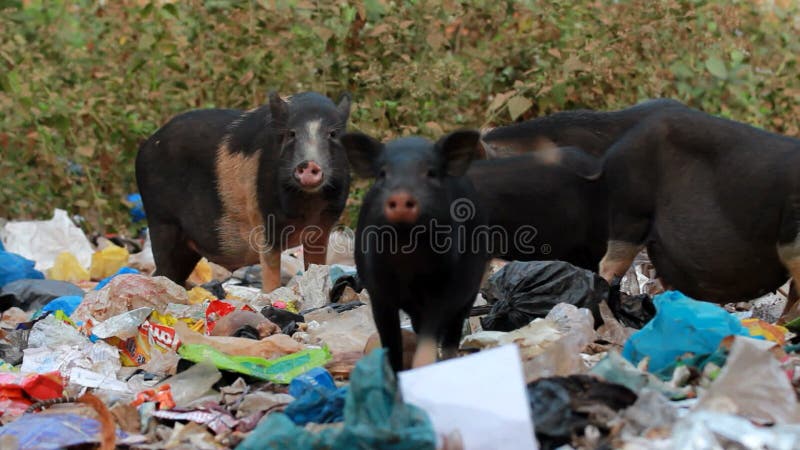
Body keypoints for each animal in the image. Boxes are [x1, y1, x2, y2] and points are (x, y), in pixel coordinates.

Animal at [135, 92, 352, 292]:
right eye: (292, 134)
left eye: (332, 134)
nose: (308, 164)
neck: (308, 205)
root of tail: (147, 145)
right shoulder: (264, 221)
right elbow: (270, 272)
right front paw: (271, 294)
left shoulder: (323, 227)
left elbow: (316, 264)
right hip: (161, 220)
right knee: (163, 270)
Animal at [342, 130, 490, 371]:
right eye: (382, 174)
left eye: (431, 172)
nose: (401, 197)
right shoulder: (378, 293)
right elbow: (391, 342)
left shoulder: (444, 289)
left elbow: (431, 334)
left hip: (470, 290)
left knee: (452, 331)